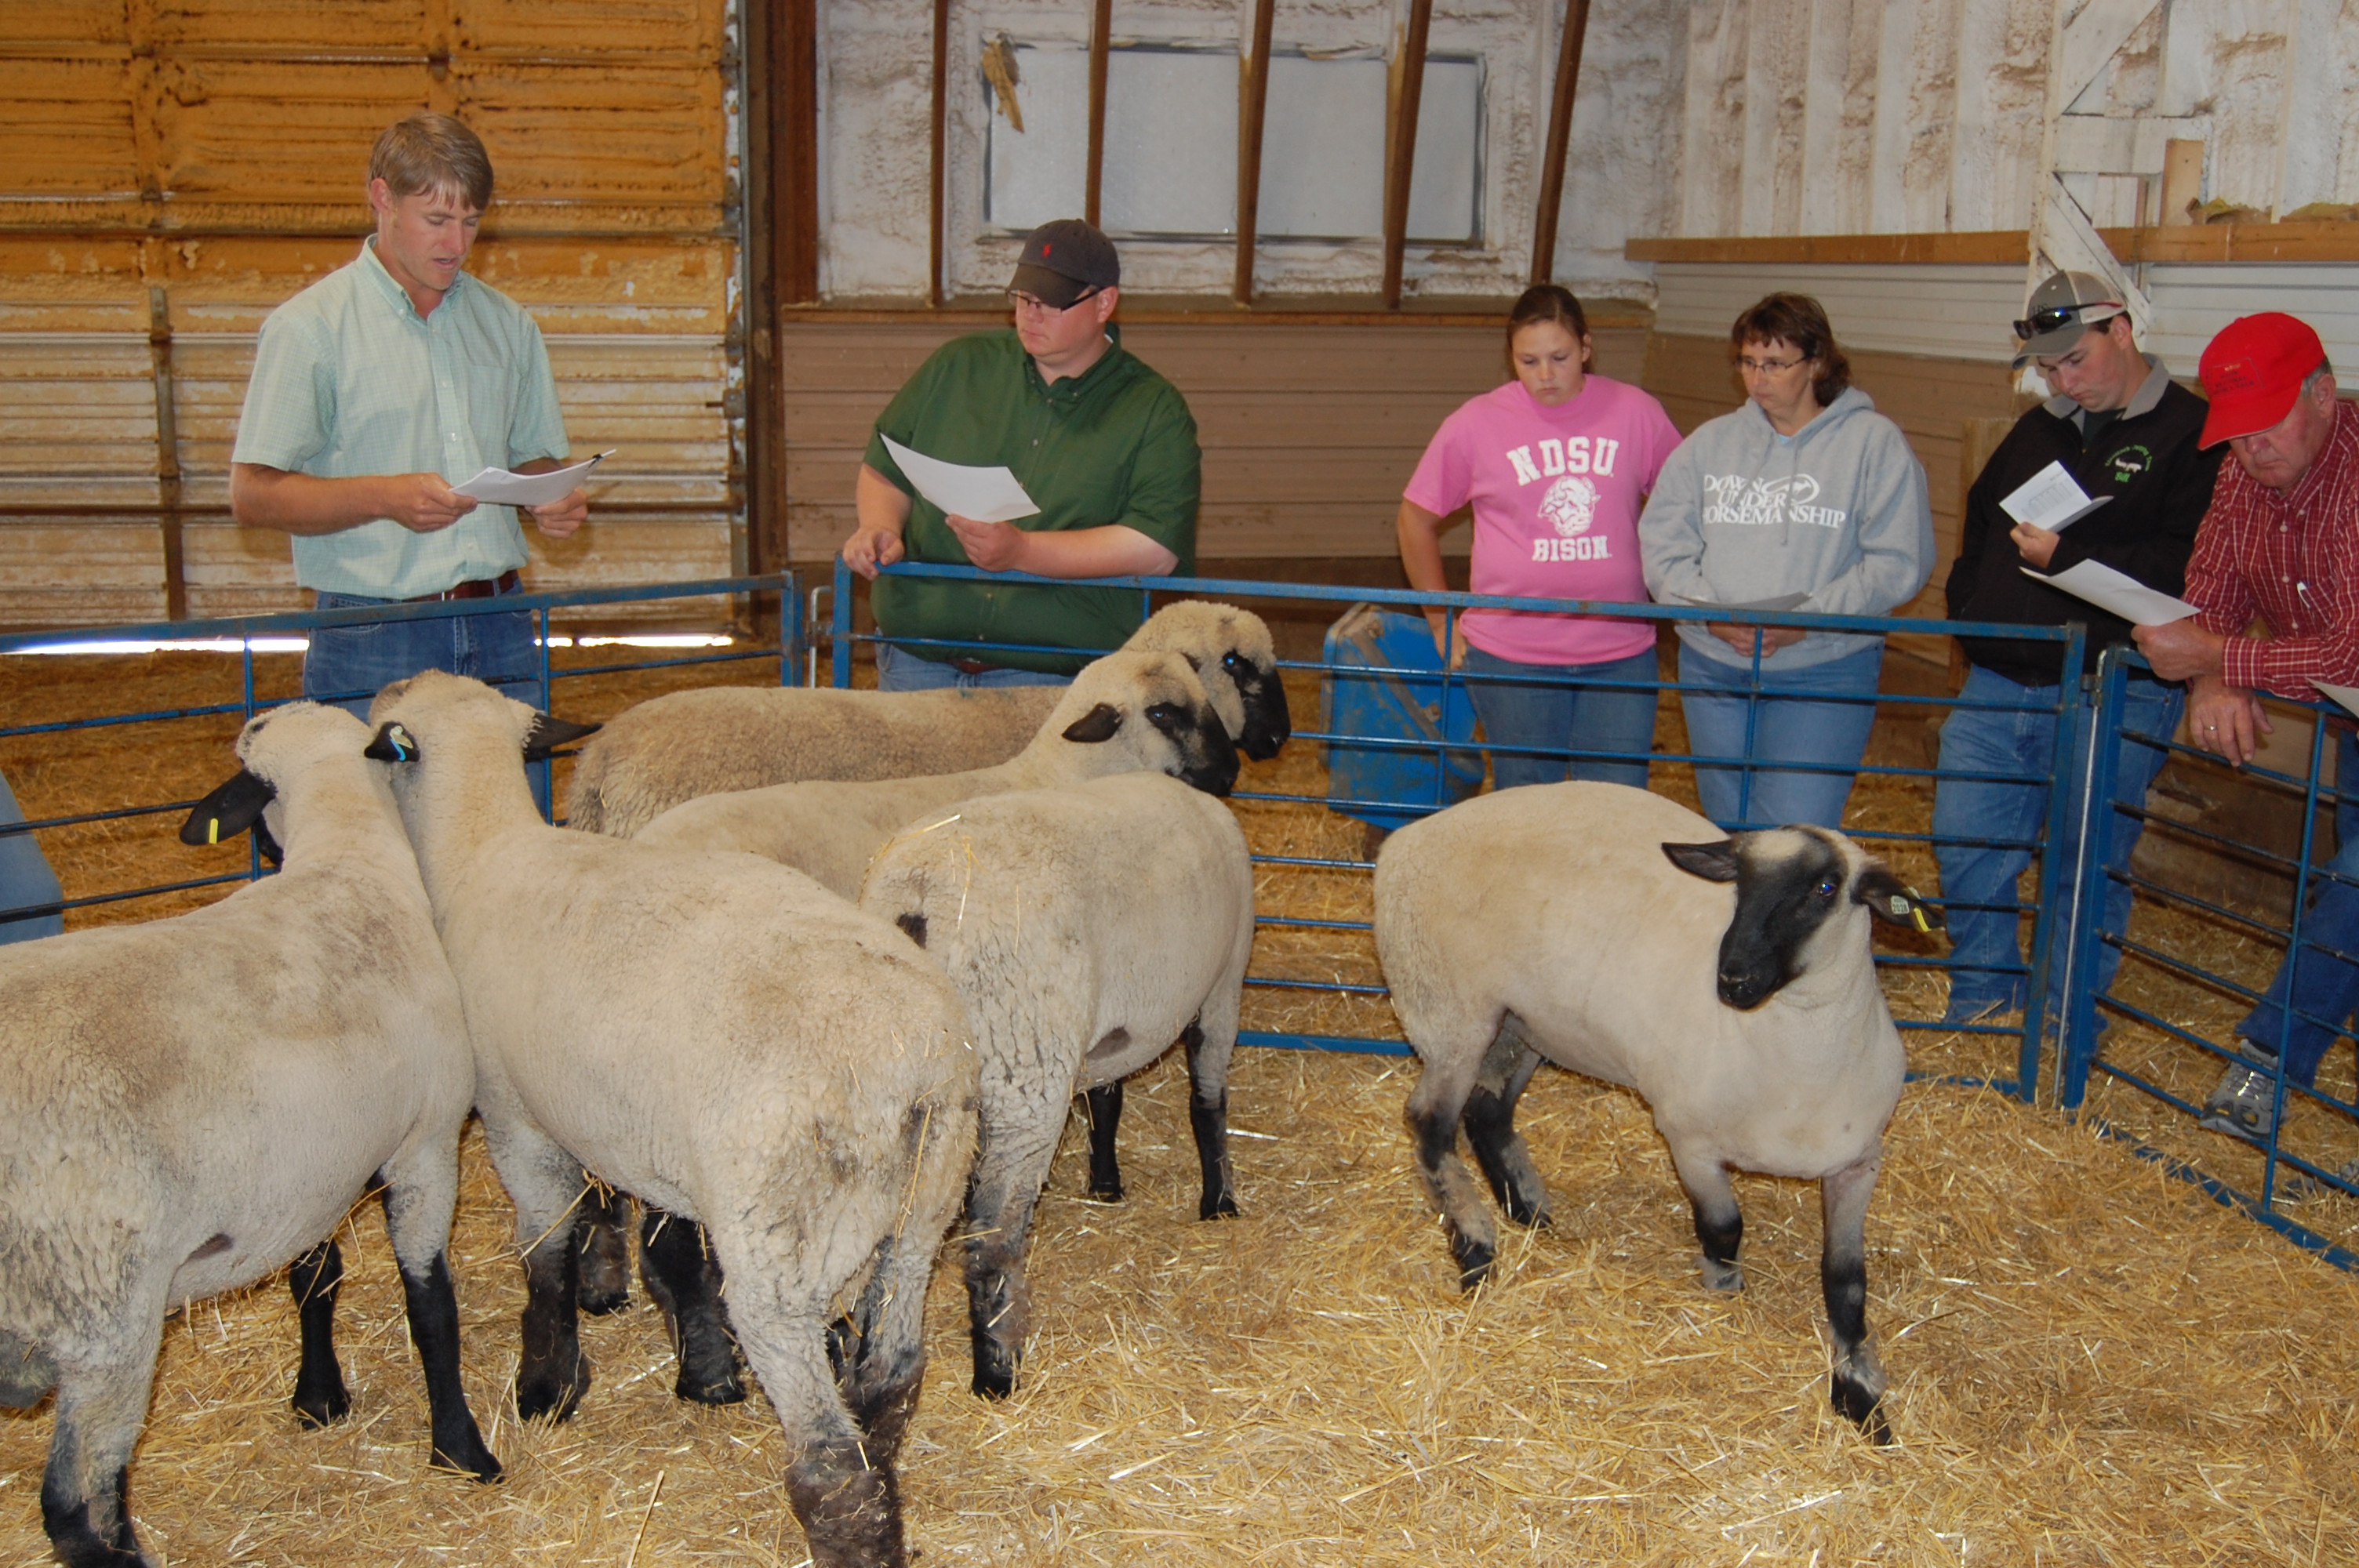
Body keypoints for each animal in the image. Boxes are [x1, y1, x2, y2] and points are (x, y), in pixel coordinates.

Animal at [0, 702, 499, 1568]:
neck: (347, 857)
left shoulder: (307, 1170)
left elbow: (316, 1276)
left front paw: (319, 1397)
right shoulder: (426, 1143)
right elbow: (432, 1306)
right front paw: (461, 1447)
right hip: (102, 1314)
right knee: (73, 1505)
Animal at [363, 671, 979, 1568]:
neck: (480, 851)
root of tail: (913, 1065)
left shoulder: (516, 1116)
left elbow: (544, 1247)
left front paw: (548, 1383)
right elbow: (669, 1252)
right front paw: (696, 1364)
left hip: (780, 1248)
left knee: (831, 1460)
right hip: (920, 1218)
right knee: (891, 1379)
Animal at [858, 771, 1257, 1397]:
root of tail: (916, 904)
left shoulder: (1108, 1033)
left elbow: (1107, 1101)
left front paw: (1106, 1184)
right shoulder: (1223, 986)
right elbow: (1208, 1101)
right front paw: (1219, 1200)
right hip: (1023, 1070)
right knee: (993, 1235)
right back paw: (996, 1372)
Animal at [1371, 782, 1942, 1443]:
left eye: (1826, 888)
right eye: (1739, 882)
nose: (1733, 977)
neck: (1796, 1053)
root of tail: (1406, 838)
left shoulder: (1857, 1164)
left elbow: (1847, 1280)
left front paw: (1861, 1395)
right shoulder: (1690, 1142)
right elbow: (1724, 1228)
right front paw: (1724, 1300)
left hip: (1525, 1023)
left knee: (1488, 1111)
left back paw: (1531, 1214)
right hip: (1450, 1012)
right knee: (1429, 1124)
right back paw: (1475, 1246)